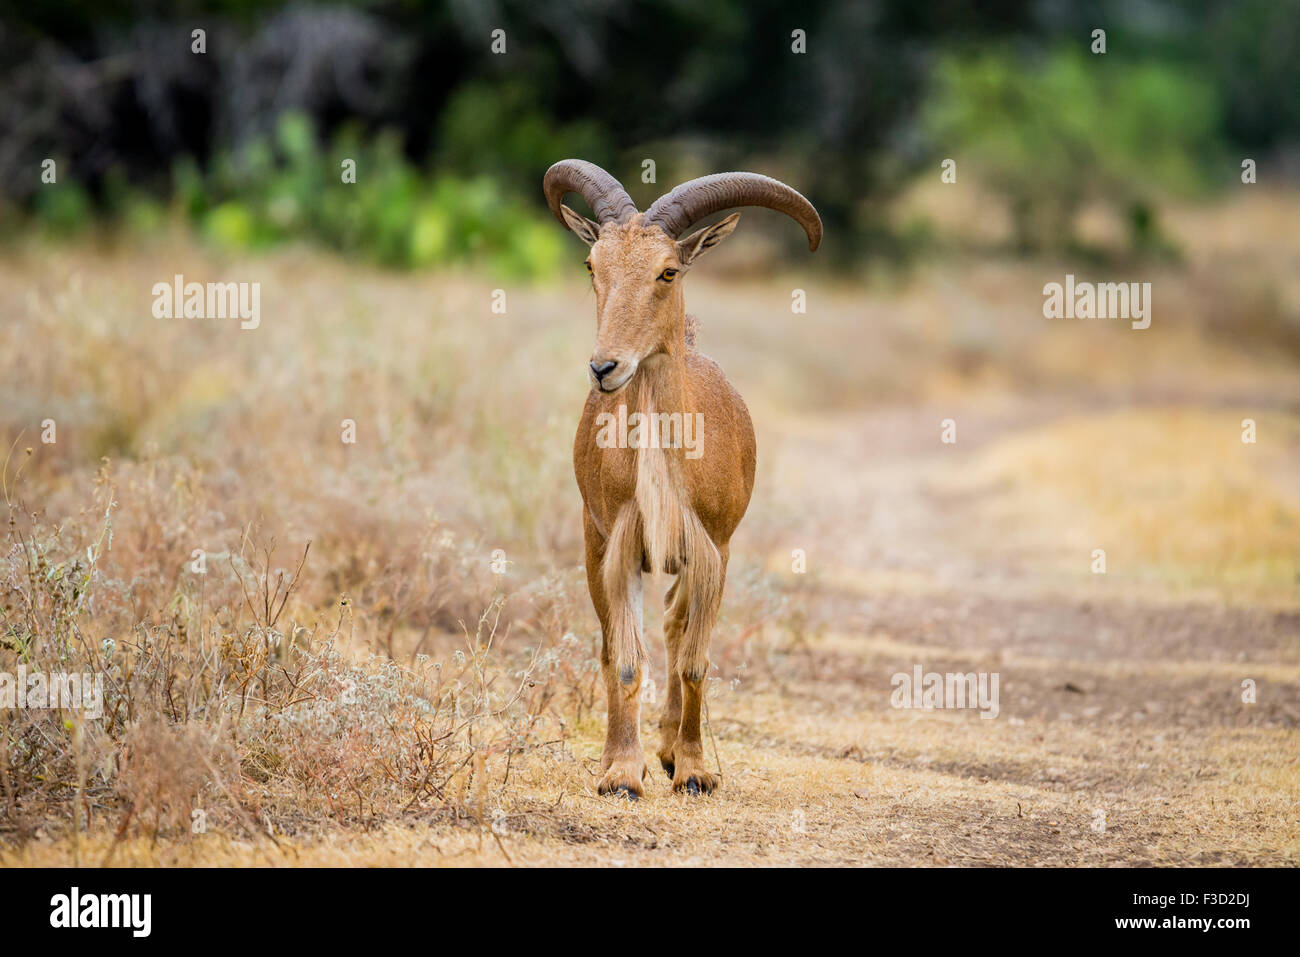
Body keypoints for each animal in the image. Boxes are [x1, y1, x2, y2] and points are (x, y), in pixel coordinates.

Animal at [544, 159, 822, 798]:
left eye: (667, 271)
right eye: (592, 265)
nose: (604, 367)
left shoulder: (713, 548)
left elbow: (694, 658)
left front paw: (694, 770)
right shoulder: (614, 545)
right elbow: (624, 659)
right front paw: (623, 773)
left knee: (674, 628)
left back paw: (672, 747)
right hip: (596, 544)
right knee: (618, 644)